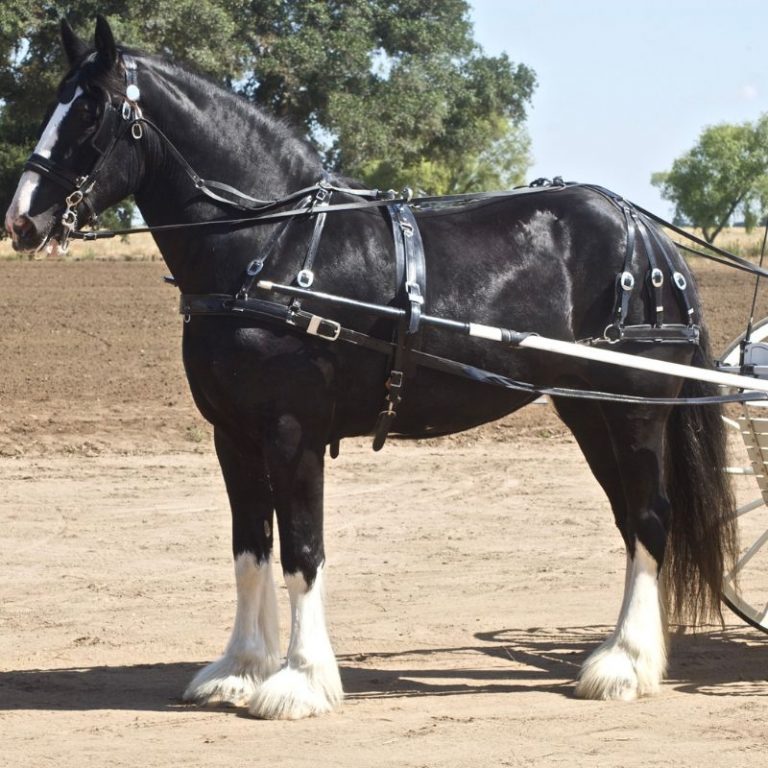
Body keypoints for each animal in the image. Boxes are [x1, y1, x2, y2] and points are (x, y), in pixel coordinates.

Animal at [5, 16, 737, 719]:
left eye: (90, 113)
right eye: (54, 103)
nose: (21, 222)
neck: (270, 246)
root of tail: (644, 231)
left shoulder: (292, 431)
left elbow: (301, 553)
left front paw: (300, 682)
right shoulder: (233, 436)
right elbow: (250, 551)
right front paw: (241, 668)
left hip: (635, 410)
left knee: (650, 517)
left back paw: (627, 665)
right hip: (586, 408)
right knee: (630, 519)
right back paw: (619, 657)